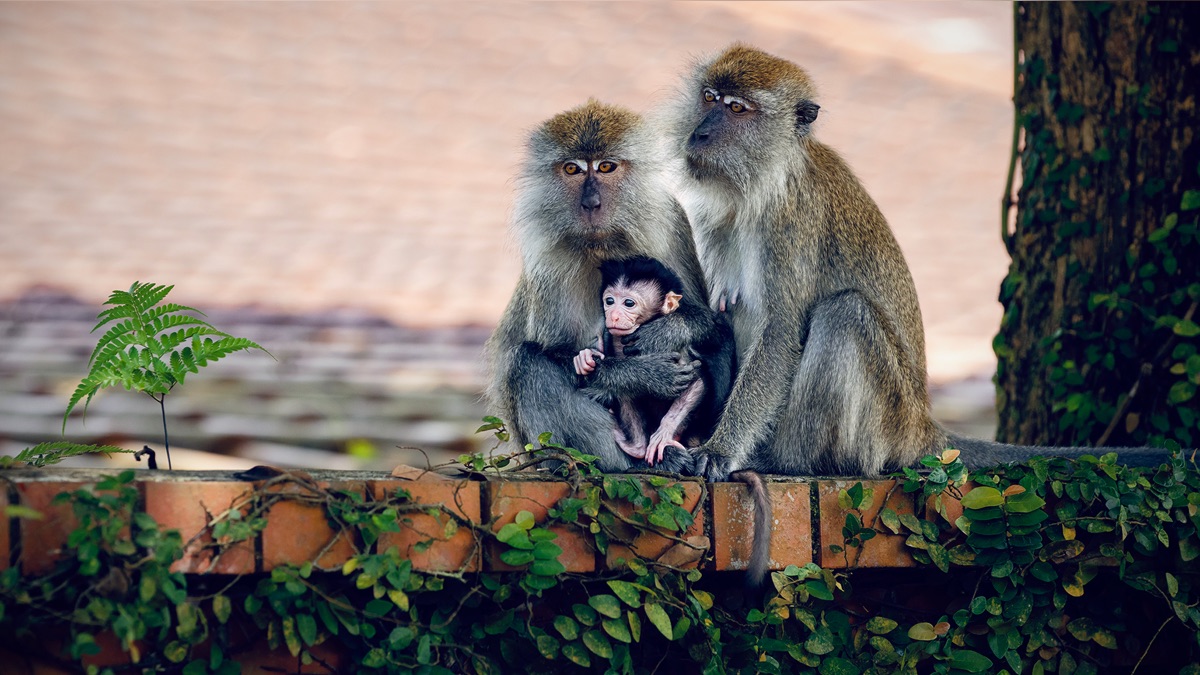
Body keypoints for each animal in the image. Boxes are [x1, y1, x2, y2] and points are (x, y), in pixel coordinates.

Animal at [485, 99, 717, 476]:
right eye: (573, 170)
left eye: (606, 167)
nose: (591, 203)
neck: (601, 245)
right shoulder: (548, 261)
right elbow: (558, 351)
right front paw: (642, 374)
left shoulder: (671, 225)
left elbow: (707, 323)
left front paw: (667, 331)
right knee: (528, 362)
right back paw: (627, 462)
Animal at [573, 256, 736, 468]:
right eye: (609, 301)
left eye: (628, 303)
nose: (613, 316)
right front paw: (585, 359)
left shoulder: (674, 351)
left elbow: (696, 382)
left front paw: (664, 431)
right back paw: (636, 446)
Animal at [663, 43, 1171, 483]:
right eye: (709, 98)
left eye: (737, 109)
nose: (700, 133)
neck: (759, 186)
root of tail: (923, 425)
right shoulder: (714, 220)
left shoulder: (789, 225)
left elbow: (780, 332)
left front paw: (720, 450)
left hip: (886, 423)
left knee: (845, 314)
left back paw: (790, 460)